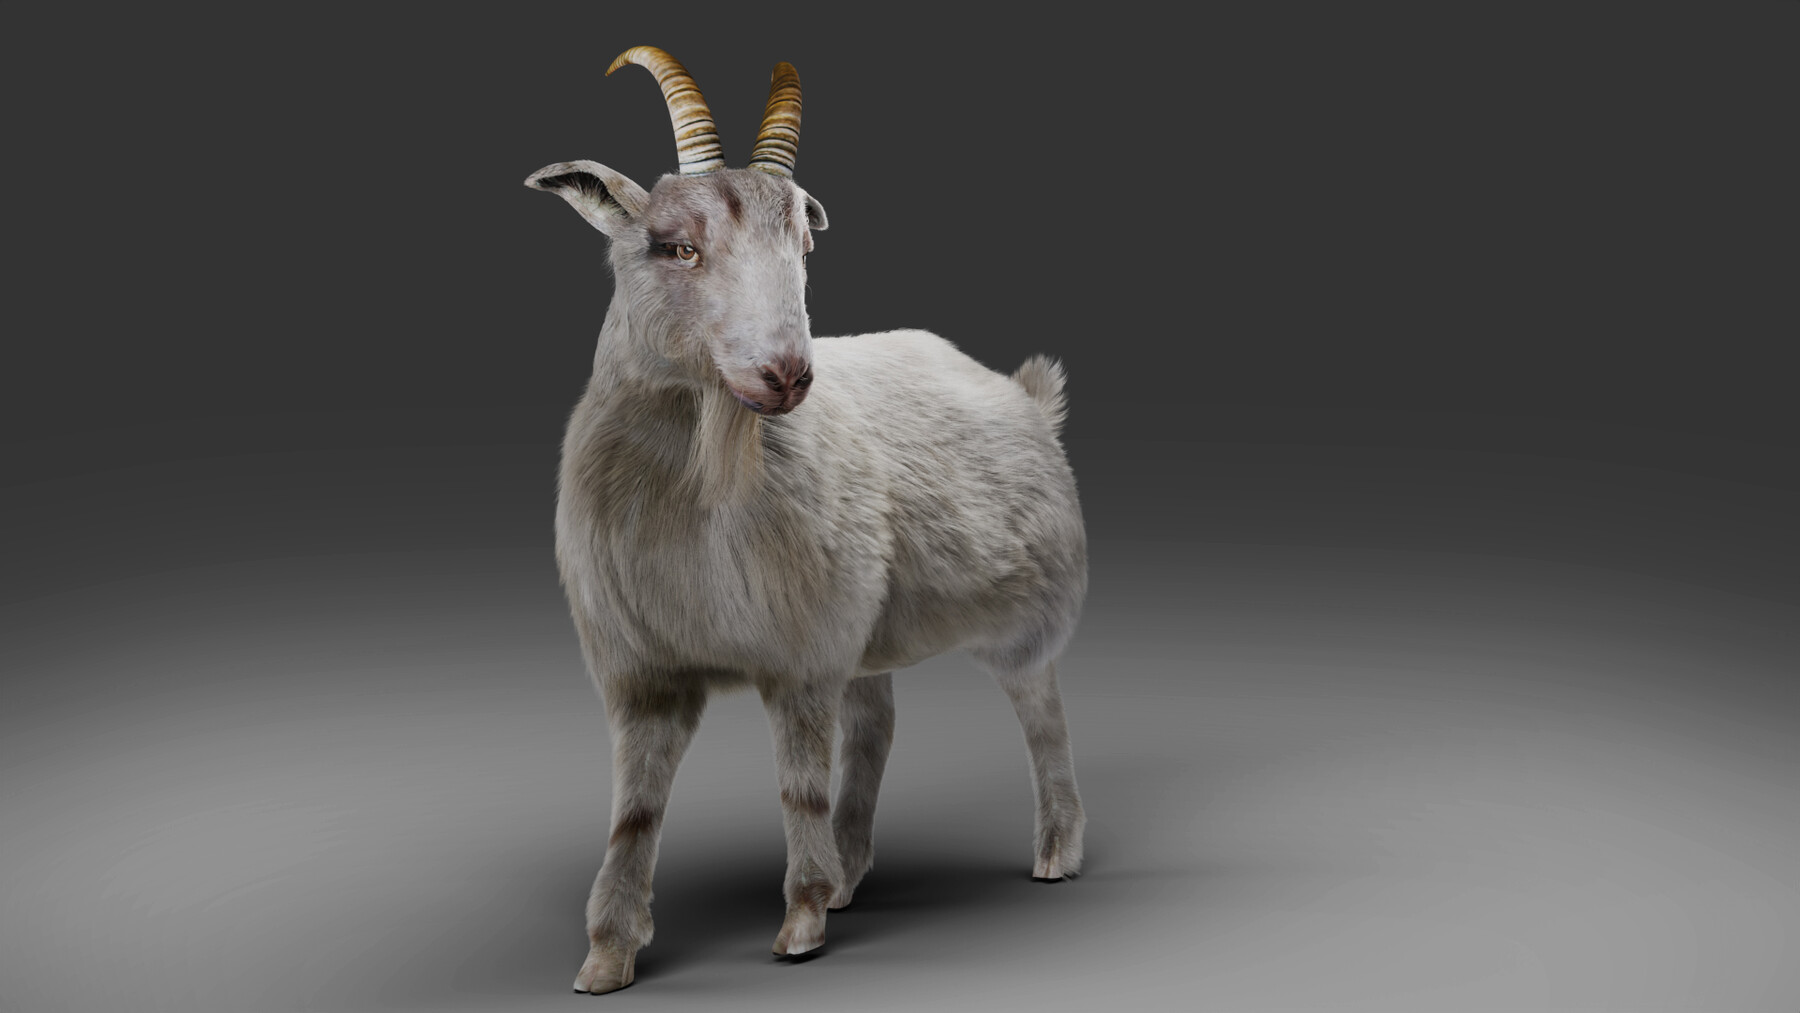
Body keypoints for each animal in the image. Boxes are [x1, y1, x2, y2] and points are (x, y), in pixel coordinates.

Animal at [525, 46, 1088, 995]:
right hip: (866, 628)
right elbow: (635, 809)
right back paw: (854, 871)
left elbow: (797, 784)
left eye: (802, 244)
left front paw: (800, 922)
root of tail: (1026, 398)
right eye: (674, 245)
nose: (787, 373)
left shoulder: (799, 656)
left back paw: (1056, 851)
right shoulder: (643, 668)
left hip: (1021, 620)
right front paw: (606, 956)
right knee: (876, 726)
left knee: (1041, 713)